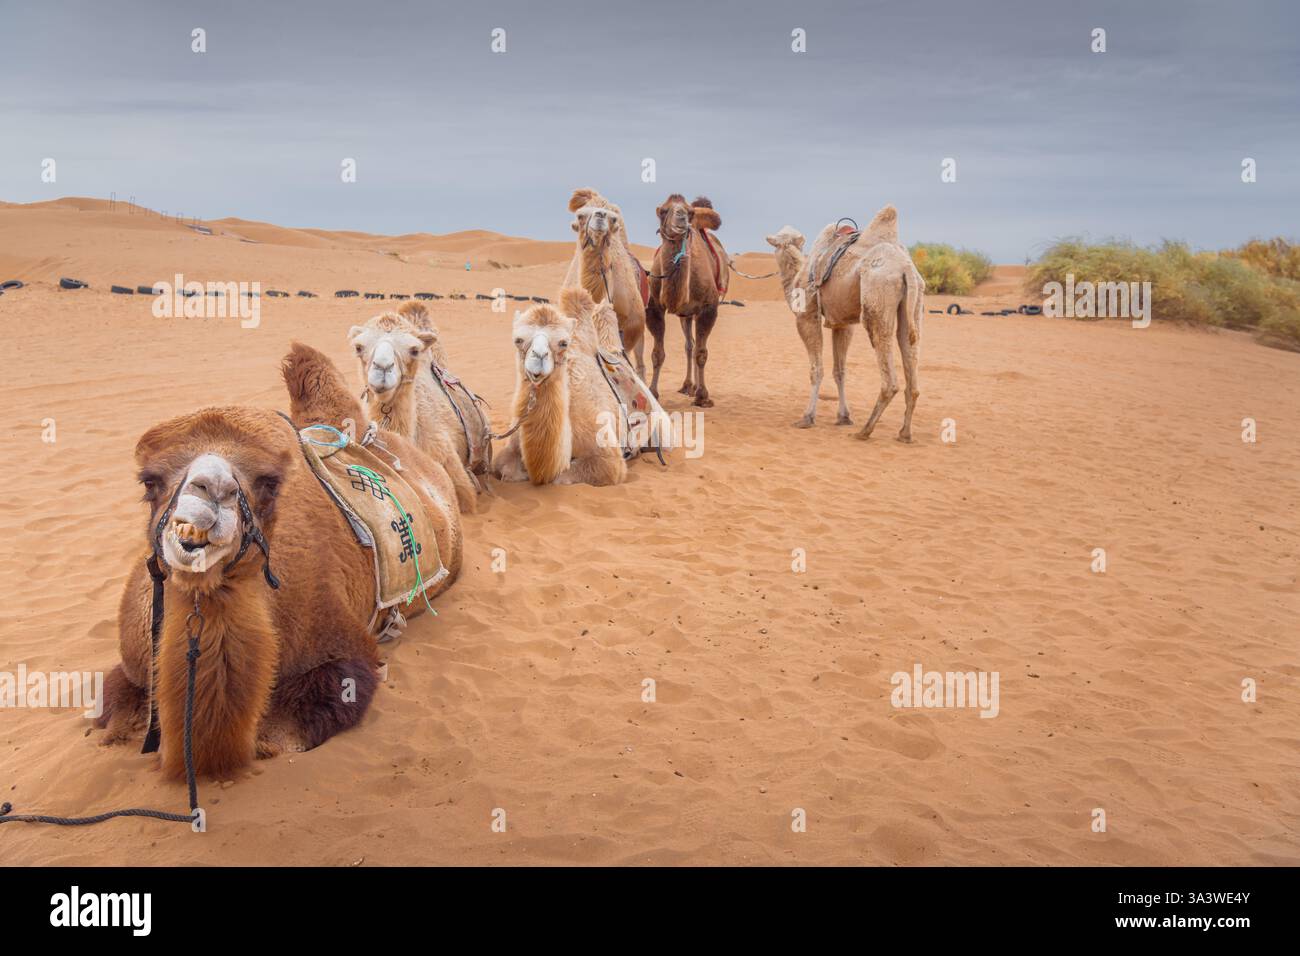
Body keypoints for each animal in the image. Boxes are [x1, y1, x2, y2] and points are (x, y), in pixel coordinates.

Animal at [96, 344, 462, 779]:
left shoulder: (342, 649)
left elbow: (293, 725)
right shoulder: (134, 662)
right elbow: (113, 707)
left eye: (270, 483)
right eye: (149, 482)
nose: (206, 498)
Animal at [491, 287, 630, 487]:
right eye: (518, 340)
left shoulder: (608, 459)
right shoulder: (511, 446)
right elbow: (507, 469)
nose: (539, 356)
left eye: (564, 343)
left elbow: (561, 478)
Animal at [645, 194, 730, 407]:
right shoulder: (654, 308)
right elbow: (657, 353)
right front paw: (653, 392)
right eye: (663, 211)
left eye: (689, 212)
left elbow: (702, 353)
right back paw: (687, 386)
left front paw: (703, 396)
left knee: (694, 345)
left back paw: (694, 387)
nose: (681, 217)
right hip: (685, 315)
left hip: (693, 312)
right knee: (689, 345)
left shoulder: (708, 308)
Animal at [765, 205, 925, 442]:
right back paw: (904, 433)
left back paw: (865, 430)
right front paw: (843, 417)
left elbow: (816, 369)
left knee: (887, 369)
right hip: (914, 301)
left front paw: (807, 418)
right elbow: (839, 370)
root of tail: (906, 268)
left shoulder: (807, 316)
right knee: (909, 350)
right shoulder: (843, 323)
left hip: (877, 295)